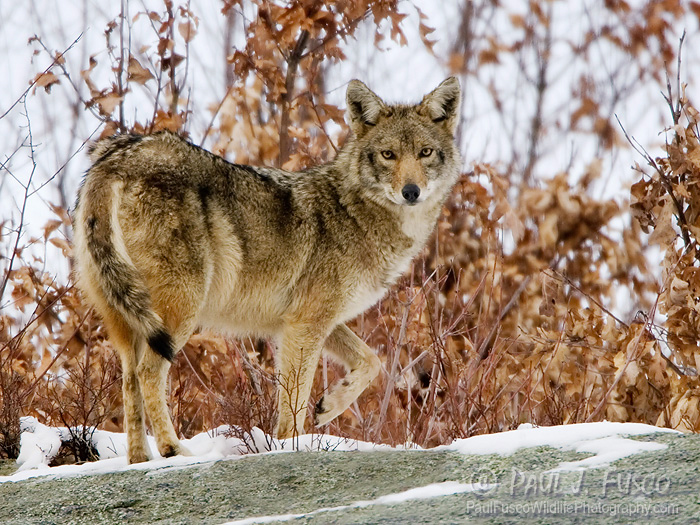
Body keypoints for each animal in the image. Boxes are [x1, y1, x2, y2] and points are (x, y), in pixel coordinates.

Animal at [72, 77, 462, 463]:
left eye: (425, 152)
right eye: (388, 154)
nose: (411, 191)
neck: (353, 212)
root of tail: (114, 160)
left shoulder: (308, 322)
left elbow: (372, 361)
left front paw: (328, 406)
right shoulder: (306, 324)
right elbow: (294, 400)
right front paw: (290, 445)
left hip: (127, 322)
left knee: (129, 381)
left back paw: (140, 460)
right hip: (178, 315)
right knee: (148, 373)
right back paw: (172, 450)